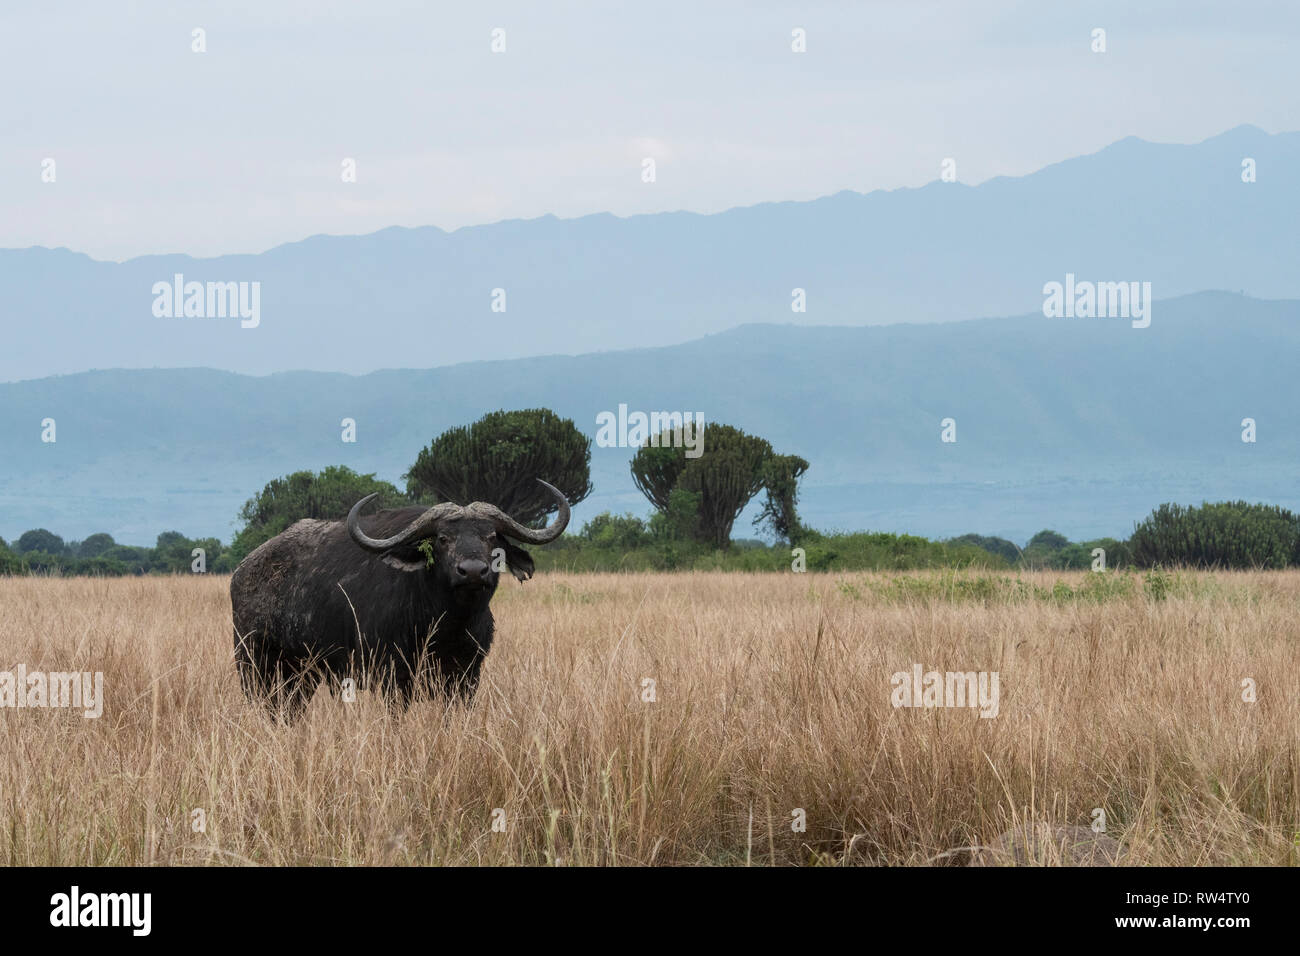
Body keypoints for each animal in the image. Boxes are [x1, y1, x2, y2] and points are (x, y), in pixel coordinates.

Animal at [230, 478, 569, 721]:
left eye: (491, 537)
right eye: (442, 538)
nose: (473, 571)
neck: (448, 623)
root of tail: (242, 571)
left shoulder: (466, 676)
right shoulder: (393, 677)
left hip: (301, 677)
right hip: (253, 666)